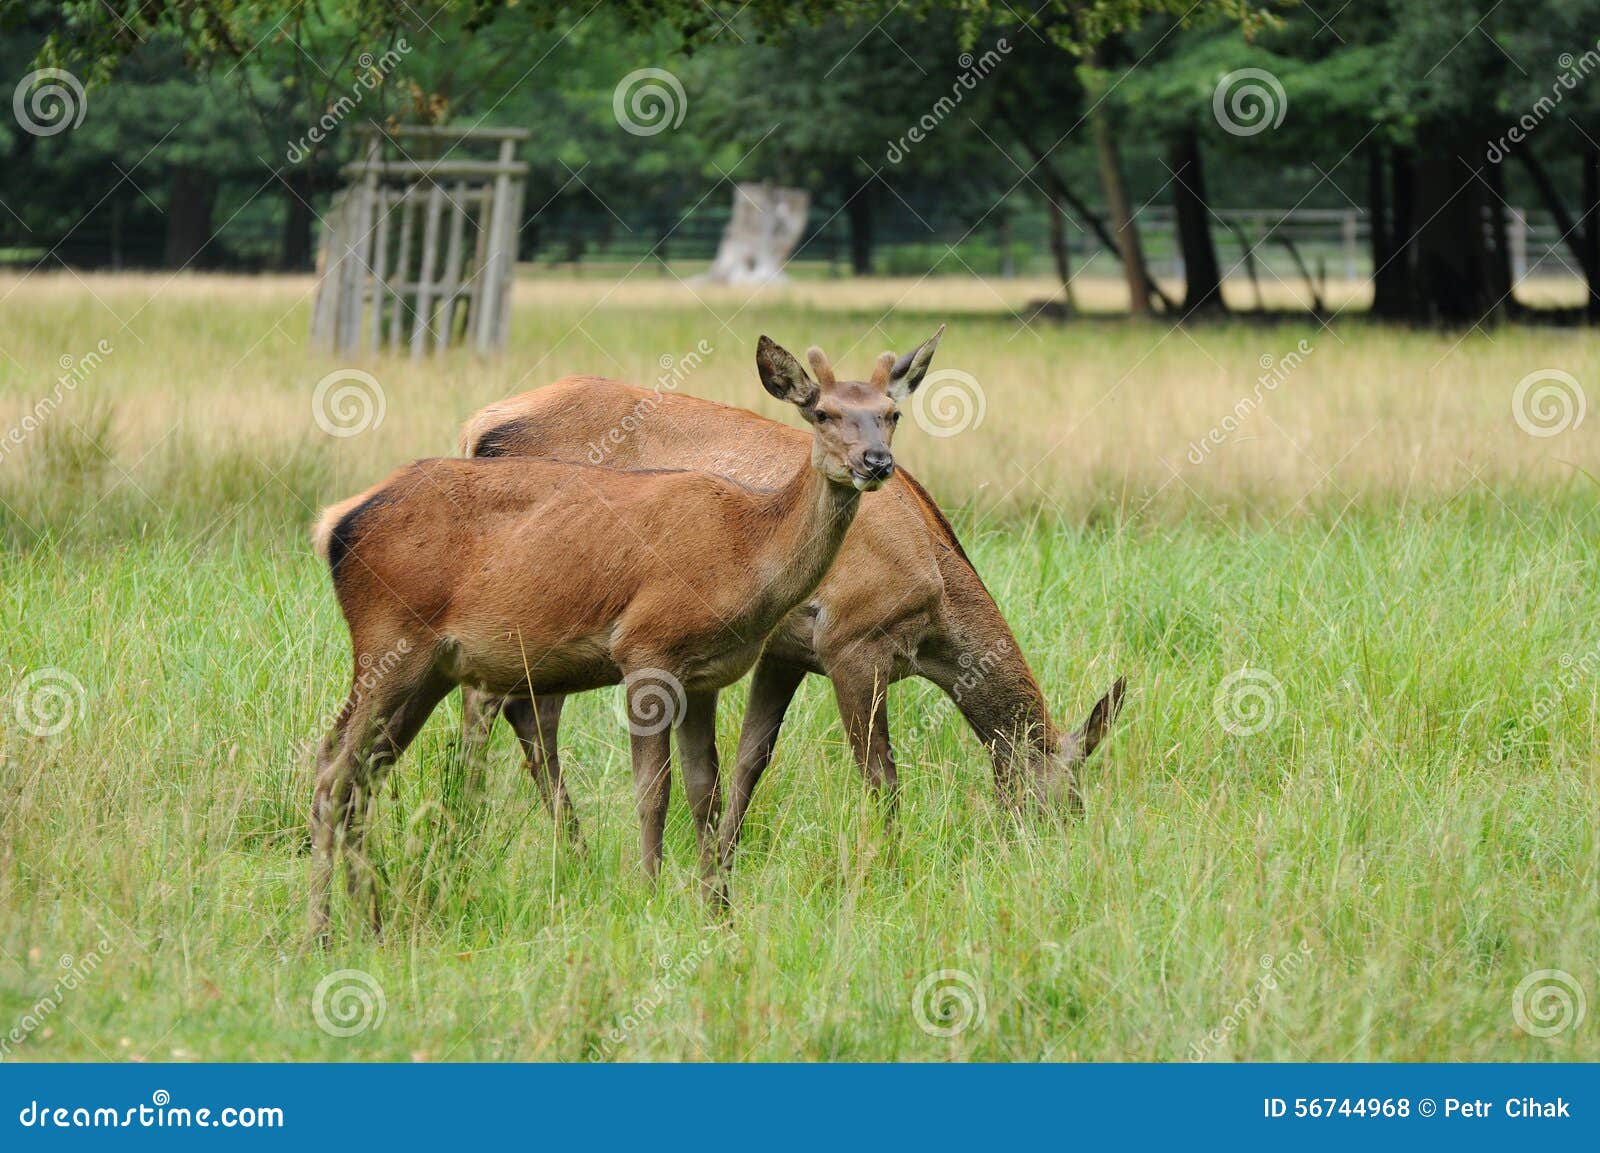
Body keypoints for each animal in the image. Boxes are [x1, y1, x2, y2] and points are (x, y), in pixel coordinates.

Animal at [305, 331, 940, 938]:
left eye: (891, 413)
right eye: (823, 413)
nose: (876, 461)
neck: (744, 552)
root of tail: (334, 524)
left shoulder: (704, 676)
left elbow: (704, 792)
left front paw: (719, 912)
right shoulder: (645, 648)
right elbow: (652, 792)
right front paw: (650, 894)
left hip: (430, 669)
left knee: (365, 774)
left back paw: (371, 921)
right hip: (388, 641)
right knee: (334, 769)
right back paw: (322, 932)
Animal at [454, 342, 1126, 878]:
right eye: (1068, 798)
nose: (1062, 855)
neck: (934, 608)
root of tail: (476, 427)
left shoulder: (788, 651)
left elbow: (751, 762)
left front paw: (723, 862)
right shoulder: (852, 643)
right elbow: (881, 775)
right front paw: (888, 866)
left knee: (523, 709)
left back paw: (563, 849)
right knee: (508, 708)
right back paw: (503, 839)